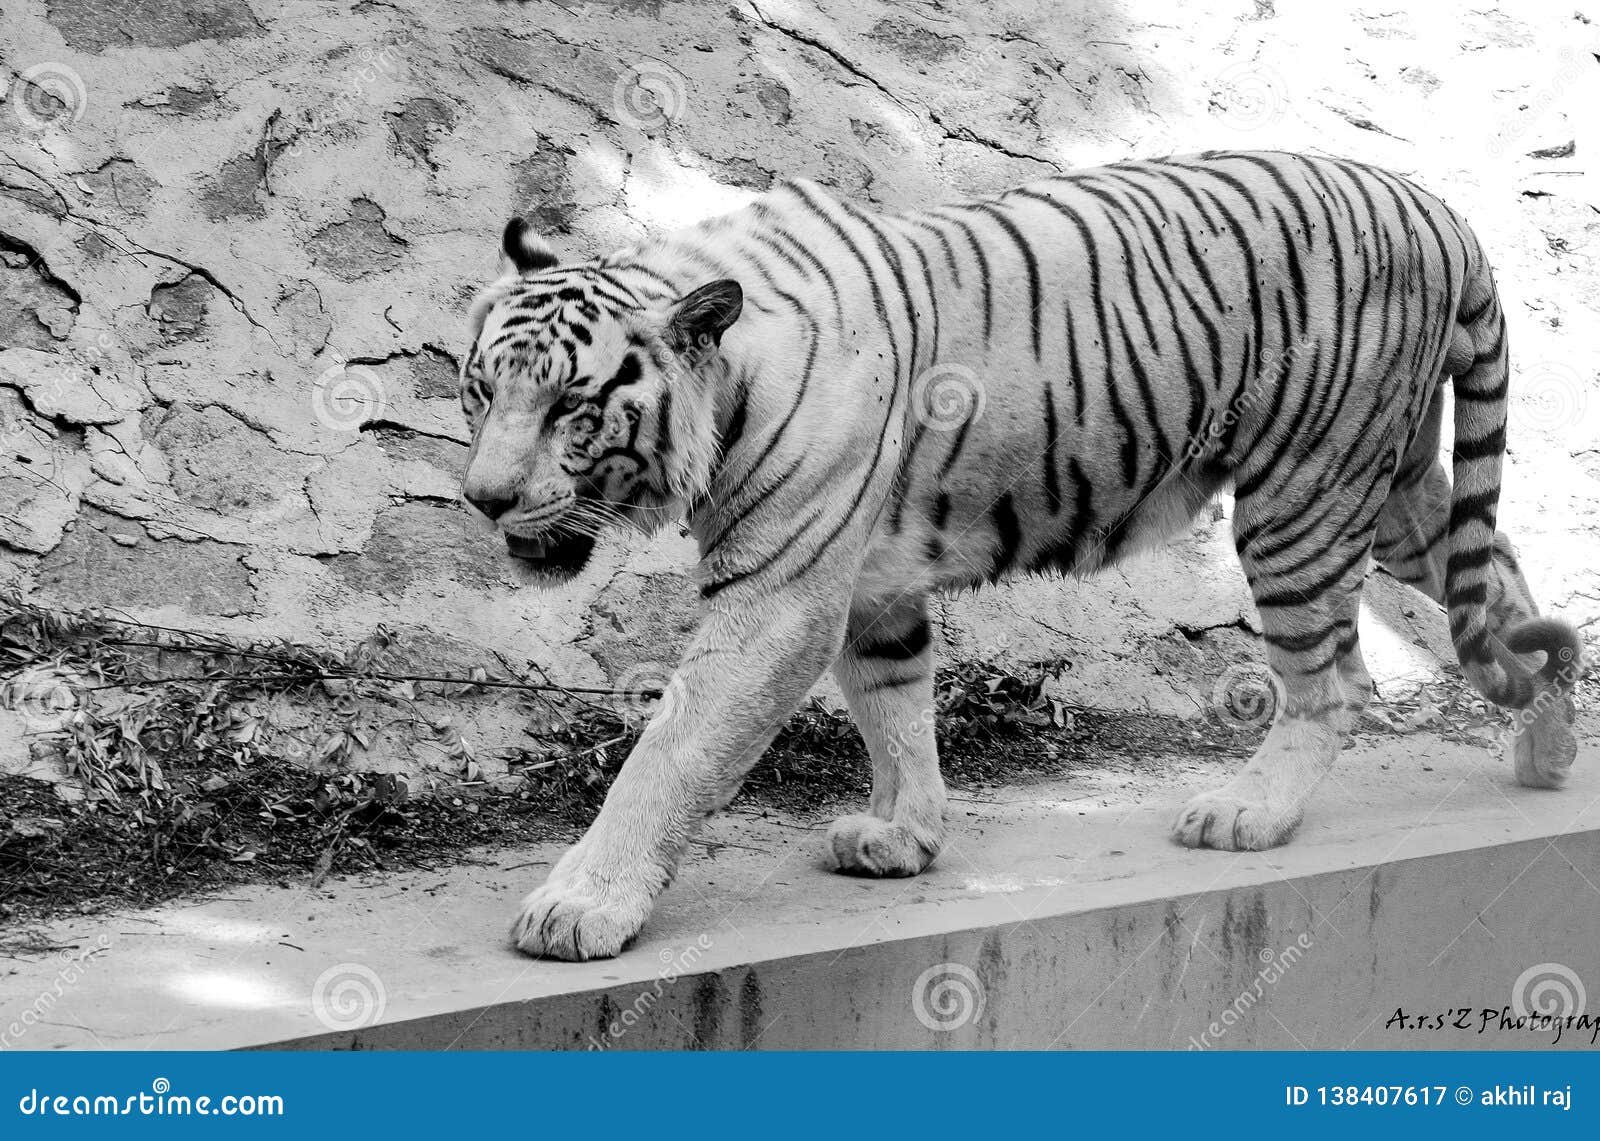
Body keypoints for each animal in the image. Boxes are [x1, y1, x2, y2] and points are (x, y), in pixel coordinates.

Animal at [458, 149, 1583, 961]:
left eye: (570, 406)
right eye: (480, 389)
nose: (484, 498)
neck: (727, 384)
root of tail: (1440, 211)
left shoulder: (775, 597)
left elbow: (668, 757)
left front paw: (580, 905)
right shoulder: (870, 586)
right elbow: (895, 709)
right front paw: (904, 835)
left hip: (1304, 491)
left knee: (1335, 681)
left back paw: (1249, 811)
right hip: (1389, 487)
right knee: (1495, 566)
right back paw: (1550, 745)